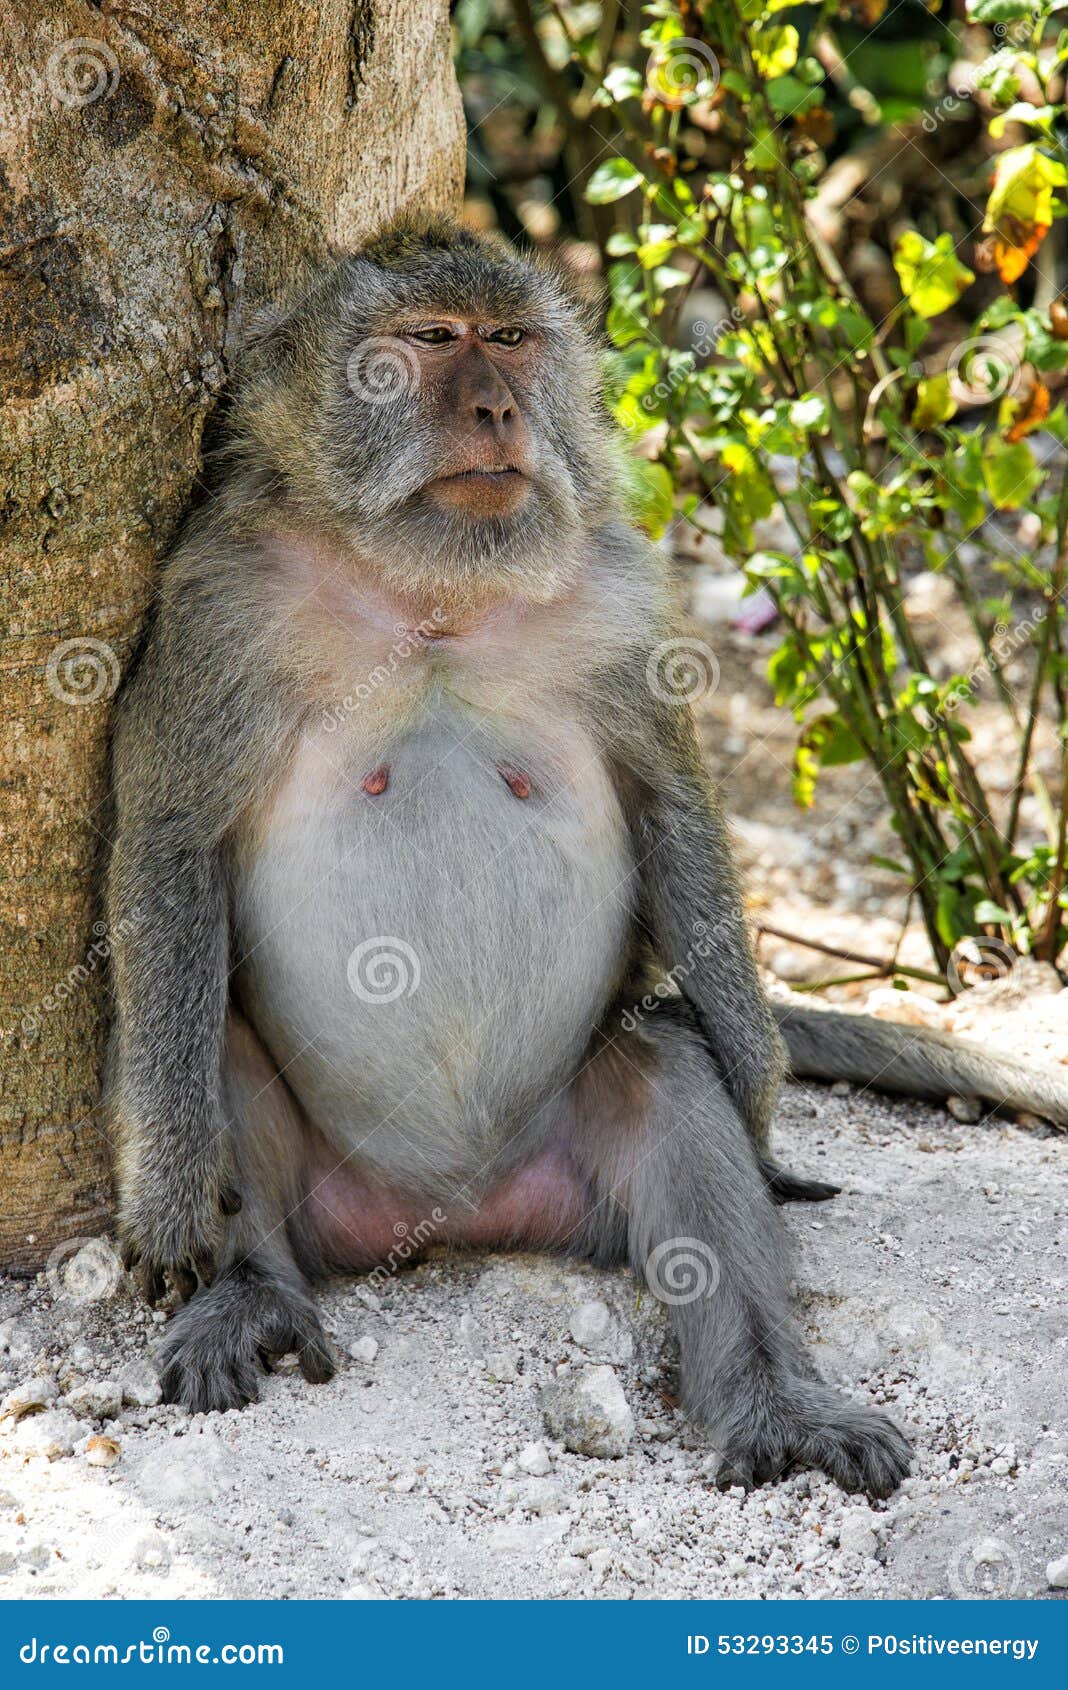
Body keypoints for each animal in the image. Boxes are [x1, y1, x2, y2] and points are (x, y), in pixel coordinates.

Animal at [105, 218, 1068, 1496]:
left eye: (511, 339)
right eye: (431, 340)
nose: (498, 408)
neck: (431, 588)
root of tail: (453, 1216)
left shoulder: (619, 590)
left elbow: (670, 805)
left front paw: (761, 1103)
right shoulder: (218, 600)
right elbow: (172, 846)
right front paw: (169, 1216)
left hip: (569, 1151)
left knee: (665, 1073)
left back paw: (773, 1400)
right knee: (205, 1026)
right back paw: (251, 1291)